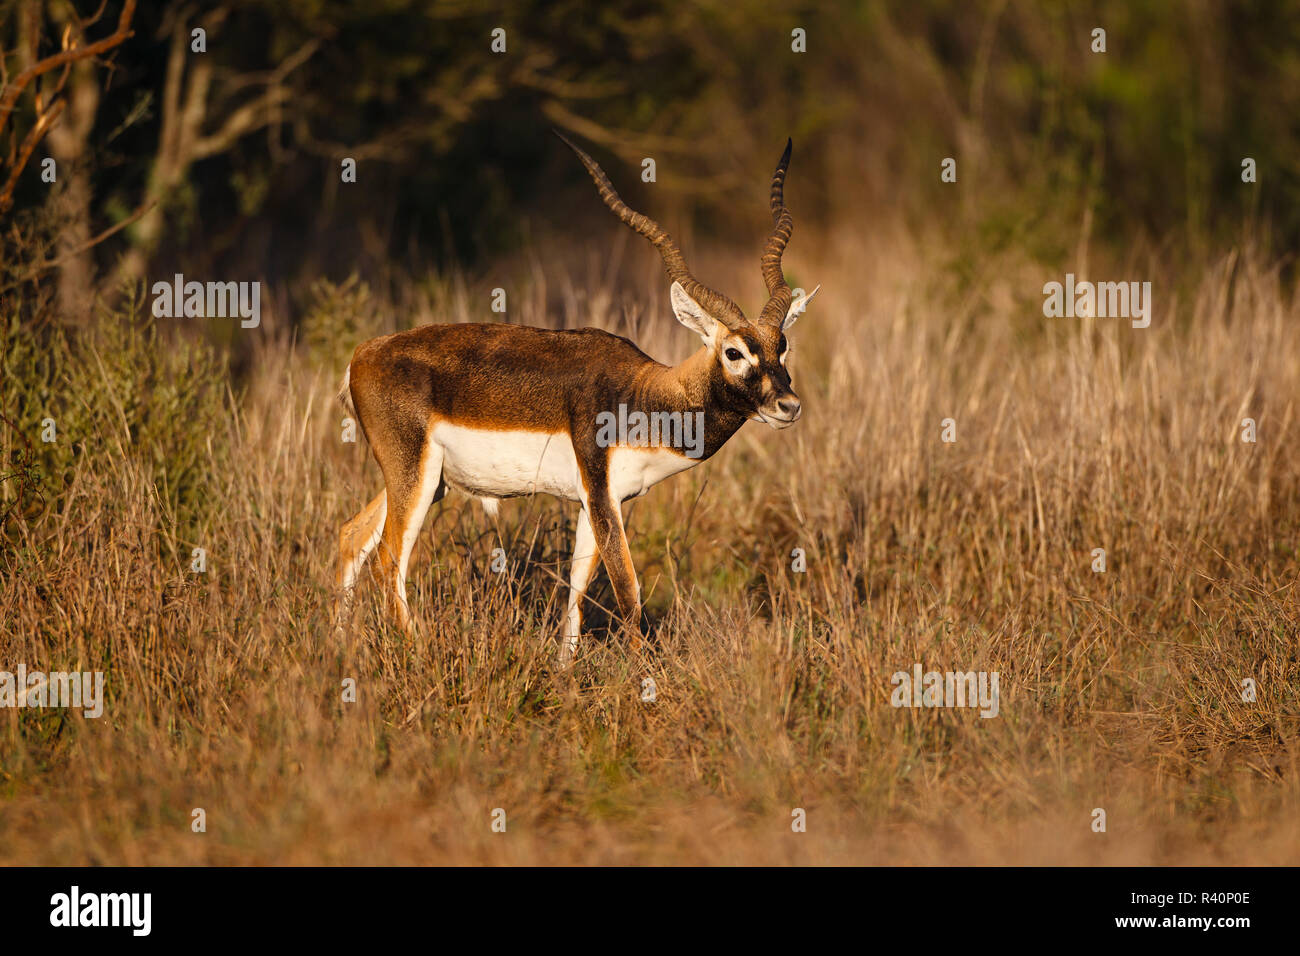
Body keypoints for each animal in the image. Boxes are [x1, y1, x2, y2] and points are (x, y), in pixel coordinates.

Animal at [335, 133, 819, 662]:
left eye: (782, 345)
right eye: (733, 351)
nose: (788, 406)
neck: (644, 392)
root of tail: (362, 355)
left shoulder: (598, 501)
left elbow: (577, 588)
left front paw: (564, 670)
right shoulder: (601, 492)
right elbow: (628, 594)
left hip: (425, 480)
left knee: (351, 536)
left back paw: (335, 644)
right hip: (415, 477)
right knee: (389, 559)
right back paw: (415, 650)